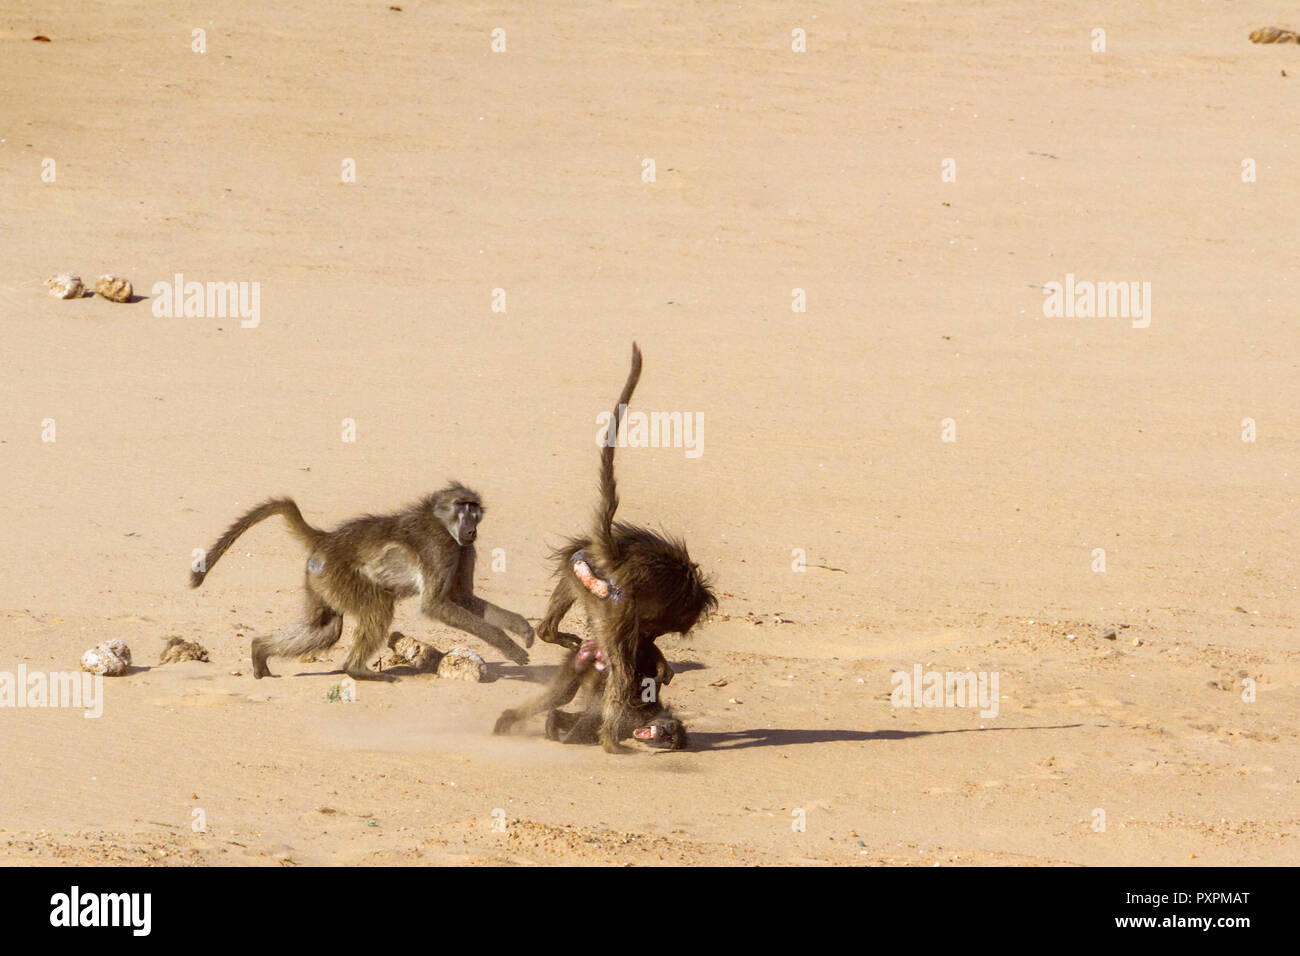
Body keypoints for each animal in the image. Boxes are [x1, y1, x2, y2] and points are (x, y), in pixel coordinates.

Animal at [189, 483, 534, 681]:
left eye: (475, 509)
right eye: (463, 507)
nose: (472, 528)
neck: (441, 523)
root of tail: (326, 538)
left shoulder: (463, 549)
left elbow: (463, 598)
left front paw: (524, 630)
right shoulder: (441, 546)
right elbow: (436, 606)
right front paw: (511, 648)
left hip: (320, 580)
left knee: (326, 628)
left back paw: (260, 652)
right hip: (339, 575)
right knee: (378, 610)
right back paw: (356, 671)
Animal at [494, 343, 716, 752]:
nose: (662, 735)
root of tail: (615, 557)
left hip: (580, 566)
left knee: (564, 683)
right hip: (614, 608)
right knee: (618, 677)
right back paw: (611, 742)